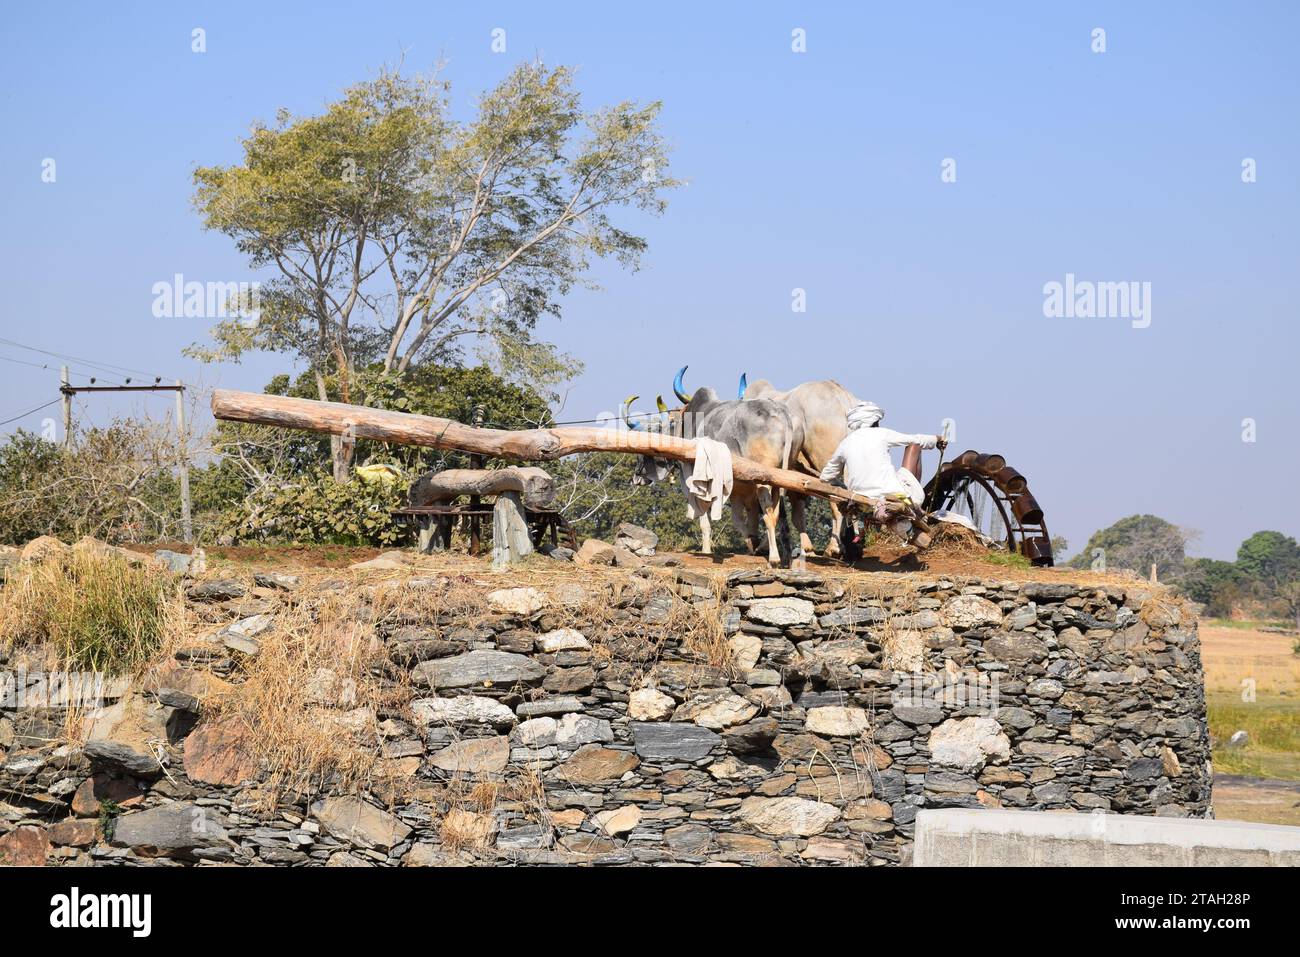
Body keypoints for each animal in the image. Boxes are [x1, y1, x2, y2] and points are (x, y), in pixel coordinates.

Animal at [623, 368, 803, 566]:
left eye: (644, 451)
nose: (636, 477)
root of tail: (781, 413)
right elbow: (743, 520)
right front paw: (753, 543)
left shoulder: (696, 481)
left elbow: (706, 521)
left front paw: (707, 550)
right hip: (782, 477)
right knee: (779, 513)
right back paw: (782, 554)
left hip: (763, 478)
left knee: (769, 513)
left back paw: (774, 558)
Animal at [741, 376, 860, 557]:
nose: (750, 542)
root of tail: (843, 398)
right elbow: (795, 514)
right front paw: (807, 548)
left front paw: (763, 546)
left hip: (825, 463)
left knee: (837, 498)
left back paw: (833, 548)